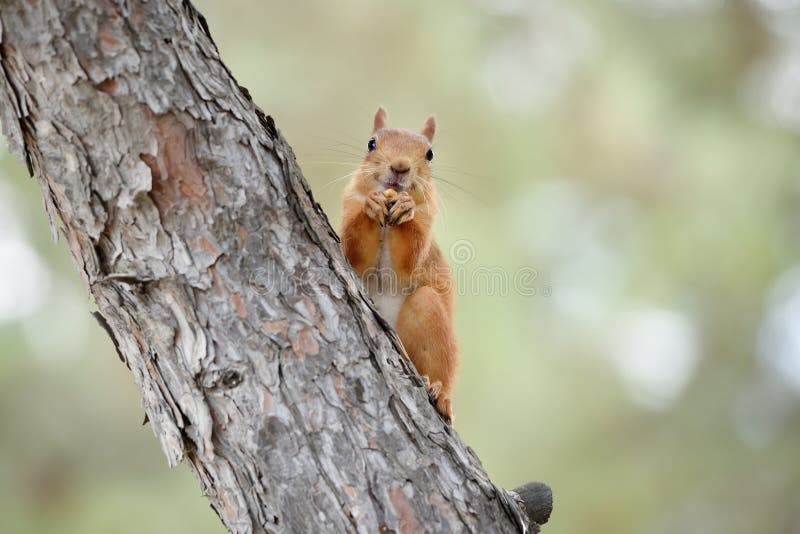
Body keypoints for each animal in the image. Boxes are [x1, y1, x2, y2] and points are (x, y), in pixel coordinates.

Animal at [340, 106, 457, 423]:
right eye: (371, 143)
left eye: (429, 154)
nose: (400, 166)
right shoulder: (348, 207)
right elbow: (353, 250)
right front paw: (371, 205)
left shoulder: (425, 225)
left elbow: (410, 257)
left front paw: (406, 208)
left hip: (429, 313)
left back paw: (440, 392)